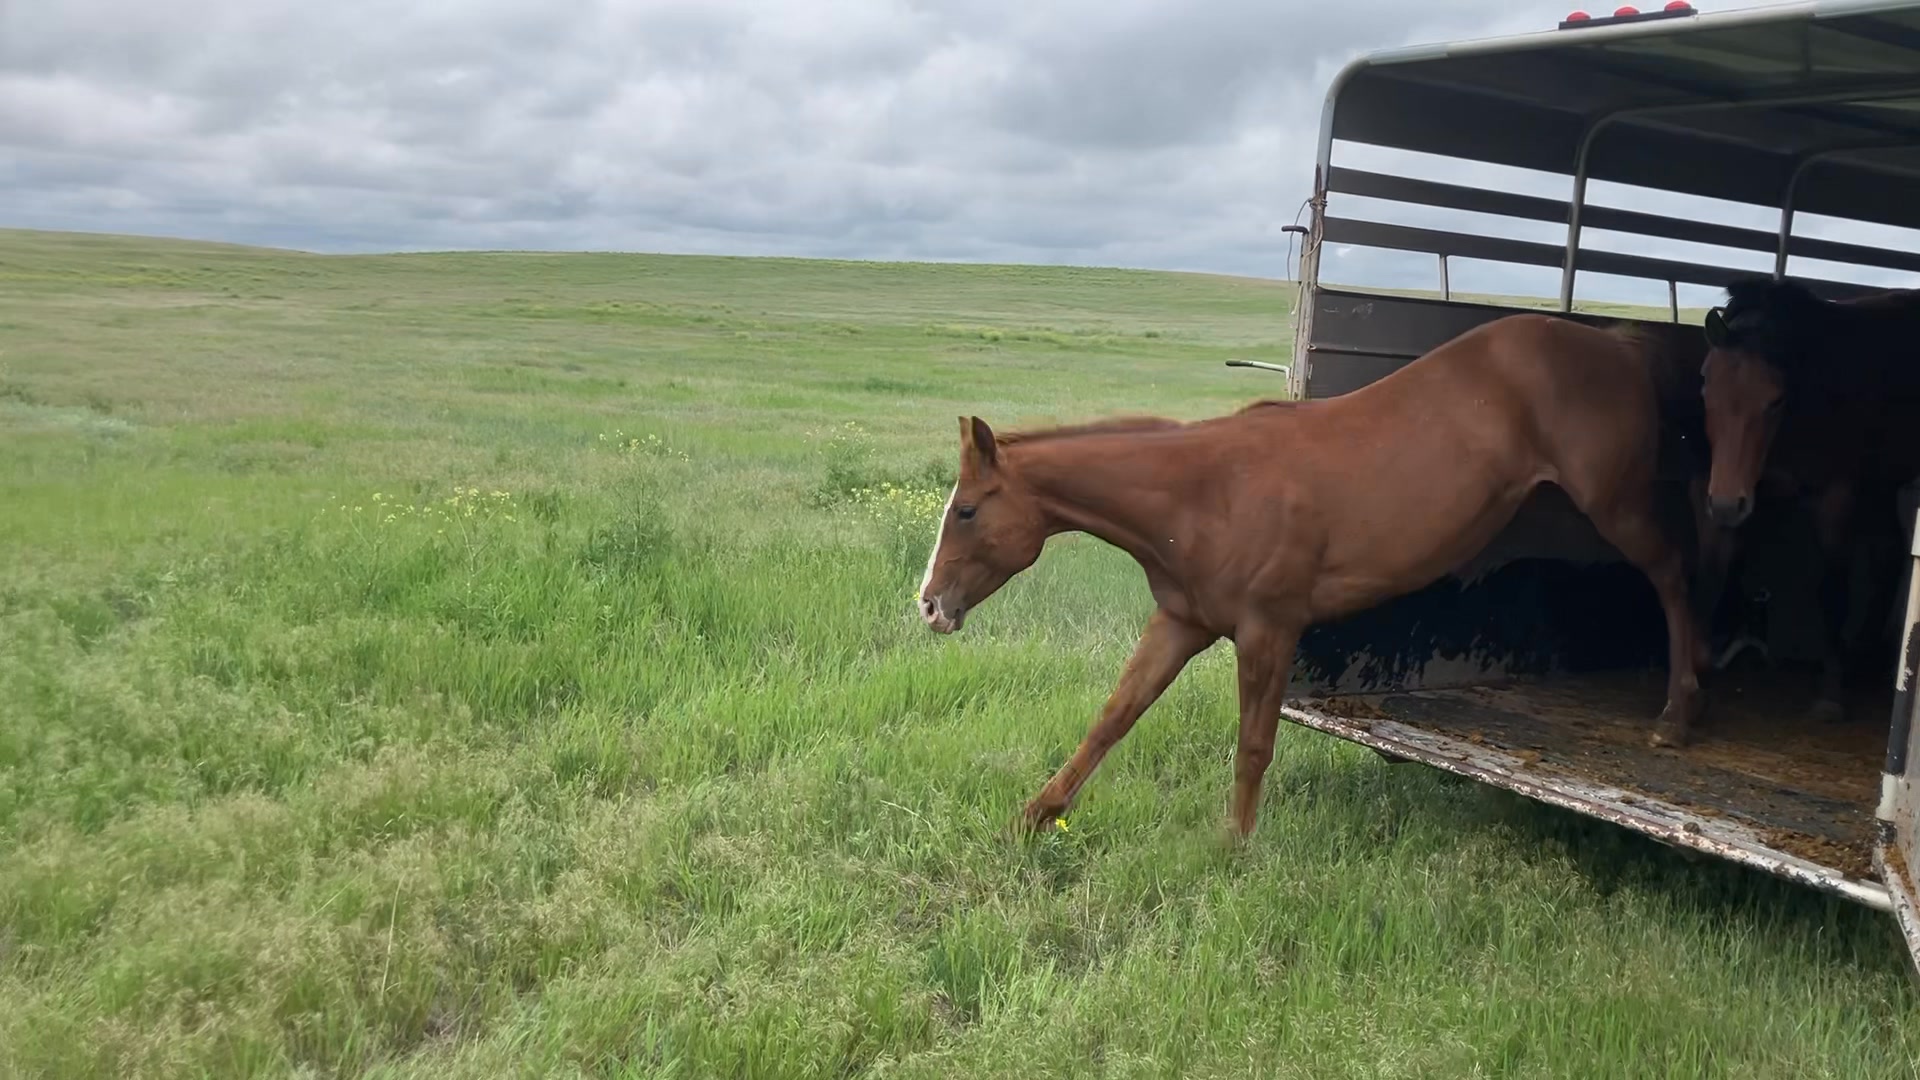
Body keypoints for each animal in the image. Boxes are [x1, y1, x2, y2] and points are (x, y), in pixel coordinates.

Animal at [915, 311, 1710, 838]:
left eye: (967, 510)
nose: (928, 606)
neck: (1203, 494)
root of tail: (1614, 342)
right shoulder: (1182, 623)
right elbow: (1113, 717)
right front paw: (1035, 816)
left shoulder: (1269, 630)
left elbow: (1252, 746)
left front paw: (1234, 849)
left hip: (1616, 504)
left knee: (1676, 577)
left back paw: (1676, 717)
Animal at [1697, 277, 1920, 723]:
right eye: (1706, 384)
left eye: (1775, 400)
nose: (1727, 504)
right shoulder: (1742, 490)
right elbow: (1726, 565)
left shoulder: (1835, 499)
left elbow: (1833, 590)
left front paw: (1829, 693)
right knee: (1888, 557)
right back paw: (1864, 661)